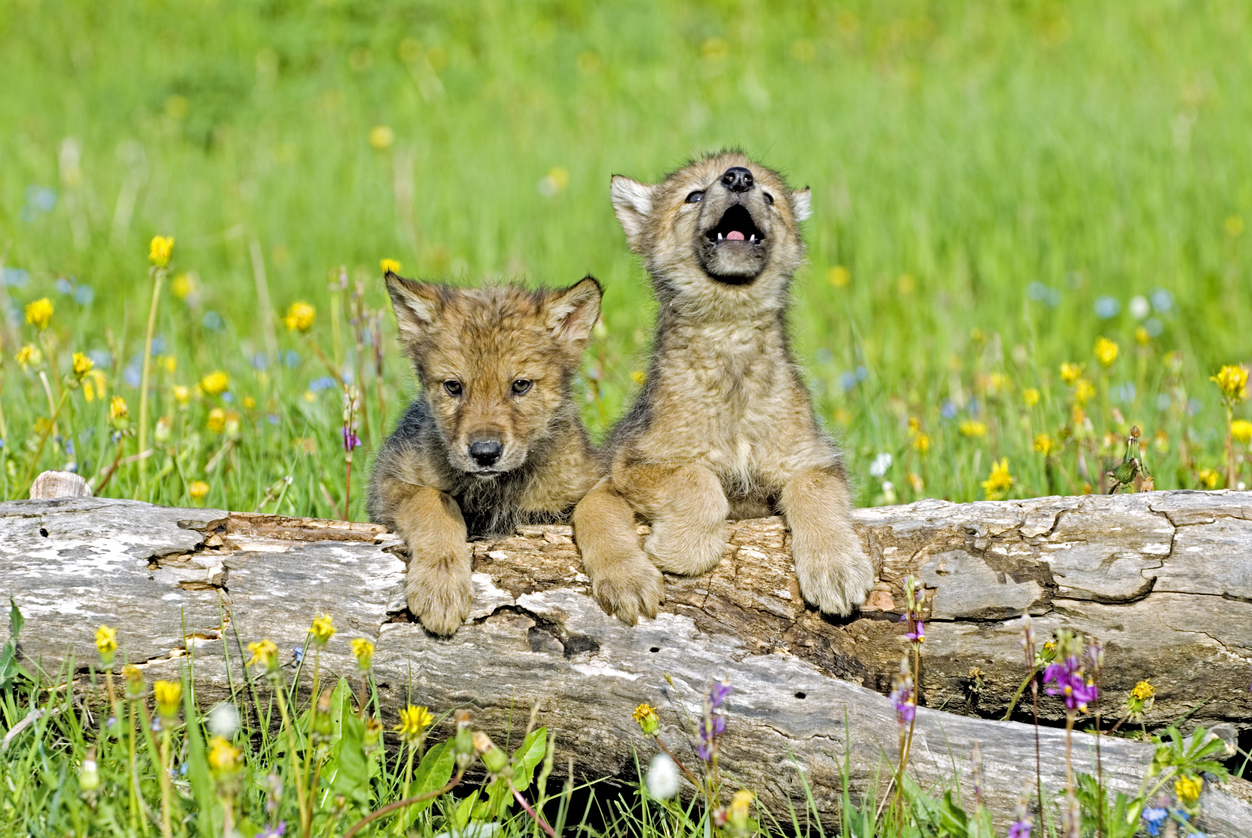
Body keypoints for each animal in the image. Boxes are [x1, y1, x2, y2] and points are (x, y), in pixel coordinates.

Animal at [368, 272, 604, 636]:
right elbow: (432, 503)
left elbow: (601, 505)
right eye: (453, 386)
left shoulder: (589, 477)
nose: (485, 453)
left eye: (520, 385)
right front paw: (441, 586)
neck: (495, 491)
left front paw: (629, 578)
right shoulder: (389, 481)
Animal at [573, 150, 876, 624]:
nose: (738, 178)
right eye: (694, 195)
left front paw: (837, 570)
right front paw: (684, 551)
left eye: (769, 196)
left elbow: (815, 494)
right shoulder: (637, 462)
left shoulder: (813, 460)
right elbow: (697, 481)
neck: (730, 339)